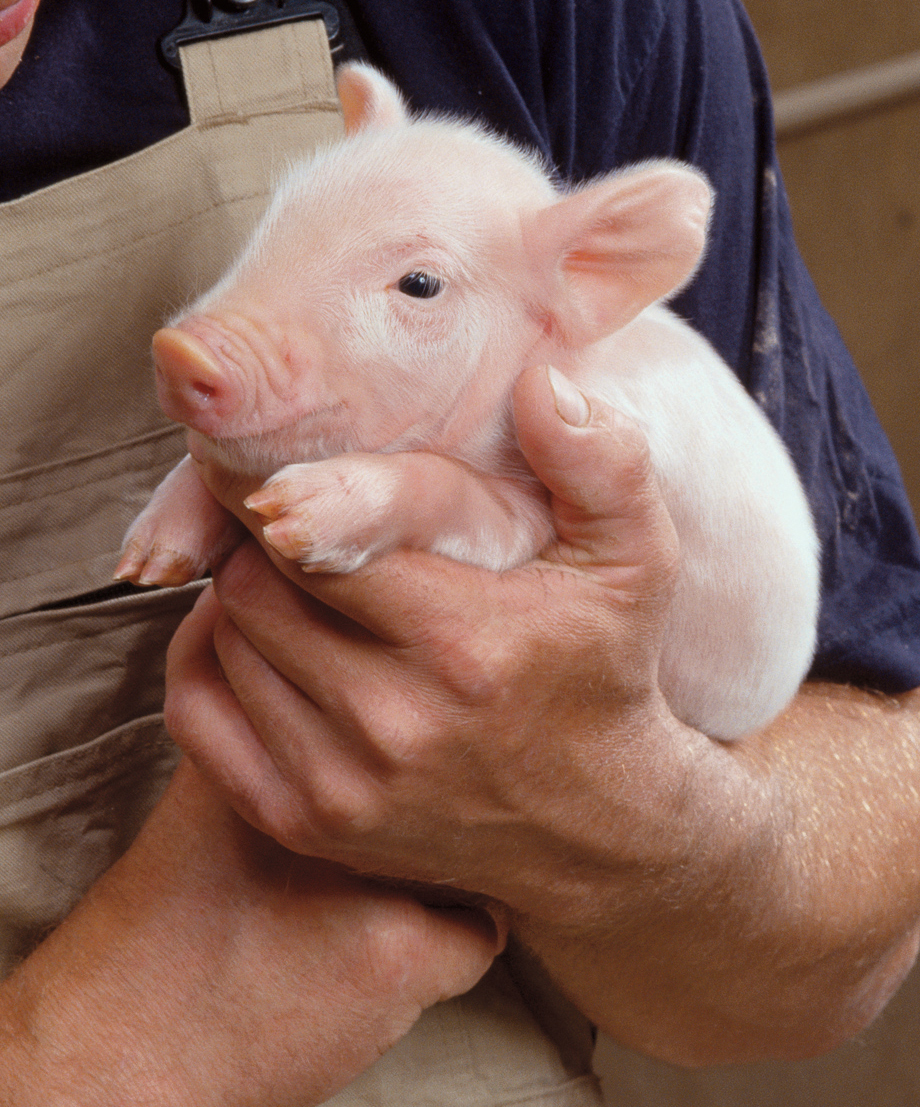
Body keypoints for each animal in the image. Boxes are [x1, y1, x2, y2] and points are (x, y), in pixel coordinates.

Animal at [116, 62, 820, 741]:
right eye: (274, 225)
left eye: (421, 284)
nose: (181, 350)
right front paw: (147, 565)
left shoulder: (531, 506)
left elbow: (452, 491)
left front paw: (292, 515)